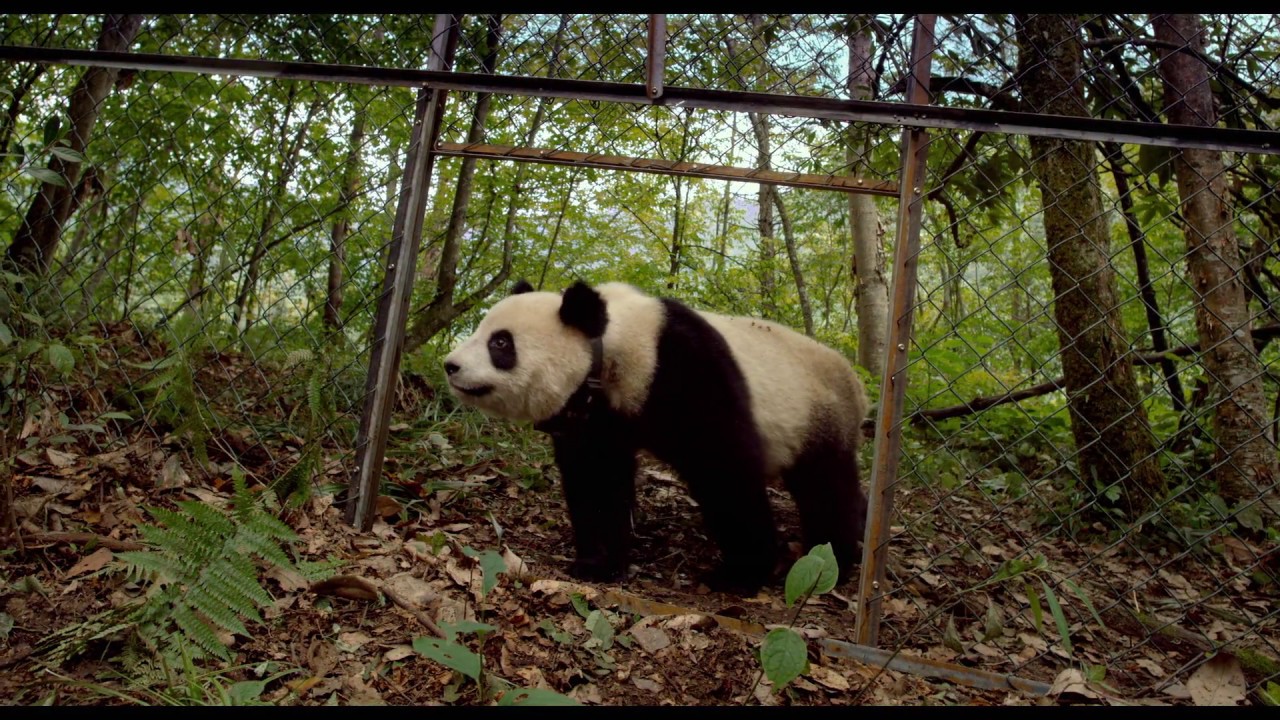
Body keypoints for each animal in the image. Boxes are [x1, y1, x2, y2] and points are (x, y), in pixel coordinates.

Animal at [442, 279, 868, 594]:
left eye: (500, 343)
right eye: (481, 331)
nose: (451, 365)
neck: (610, 347)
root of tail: (856, 381)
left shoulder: (684, 368)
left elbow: (724, 468)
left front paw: (743, 572)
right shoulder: (597, 415)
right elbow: (596, 478)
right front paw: (597, 563)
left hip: (817, 414)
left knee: (826, 486)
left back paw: (833, 555)